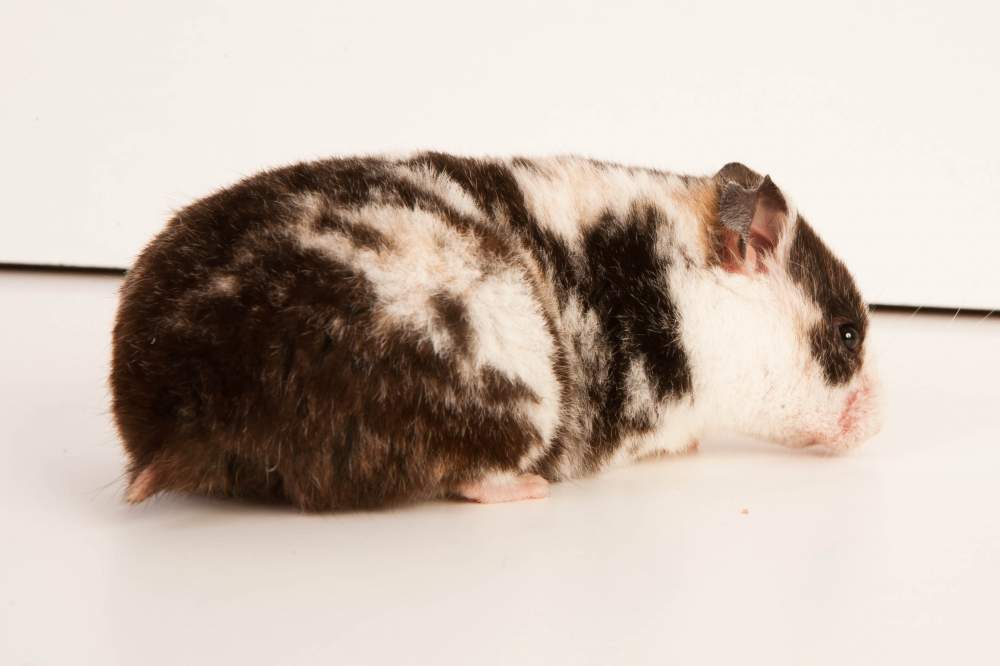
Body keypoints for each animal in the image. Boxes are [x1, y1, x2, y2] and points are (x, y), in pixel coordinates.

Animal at [110, 153, 882, 510]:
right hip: (512, 385)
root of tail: (185, 410)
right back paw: (529, 490)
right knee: (470, 476)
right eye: (847, 334)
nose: (878, 426)